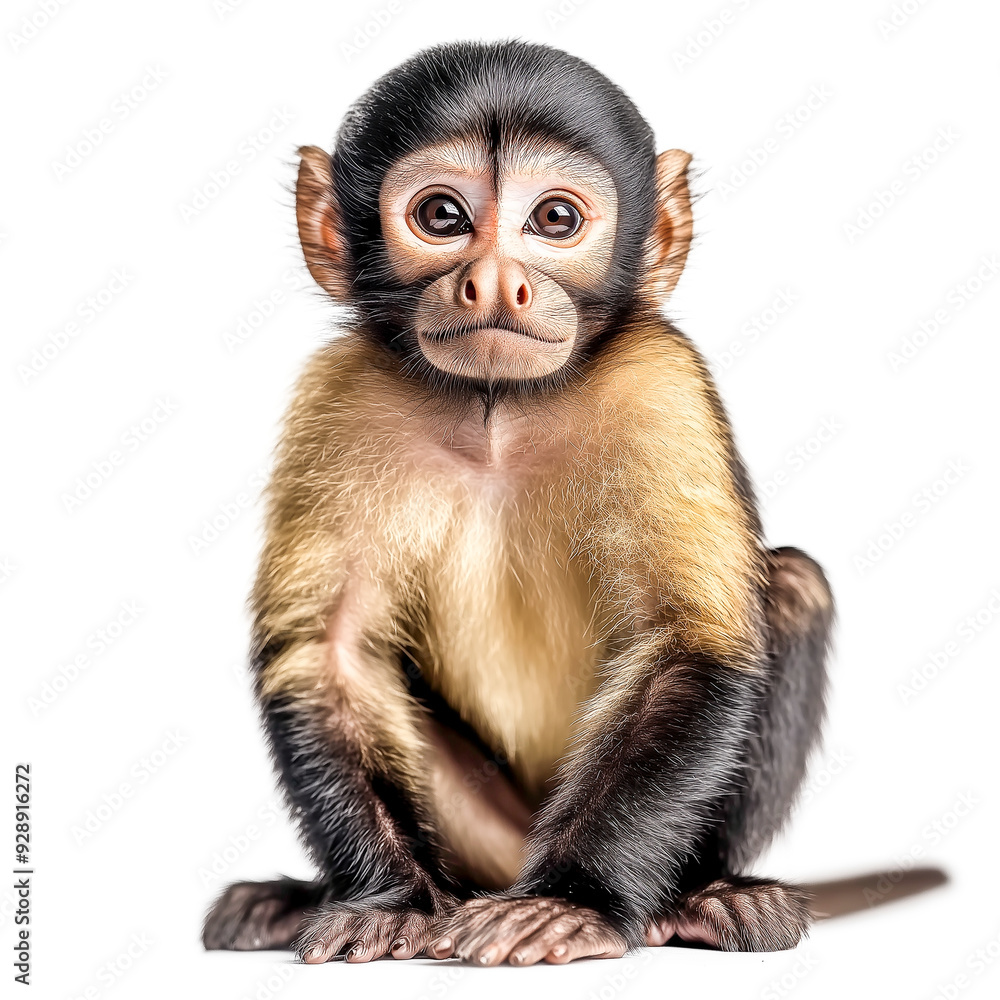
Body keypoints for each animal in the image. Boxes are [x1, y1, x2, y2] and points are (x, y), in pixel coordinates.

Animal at [202, 39, 833, 966]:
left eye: (556, 221)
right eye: (441, 215)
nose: (495, 283)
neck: (499, 411)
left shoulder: (660, 380)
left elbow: (688, 643)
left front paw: (571, 902)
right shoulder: (345, 393)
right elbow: (333, 654)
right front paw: (390, 900)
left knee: (791, 585)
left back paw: (698, 898)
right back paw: (303, 899)